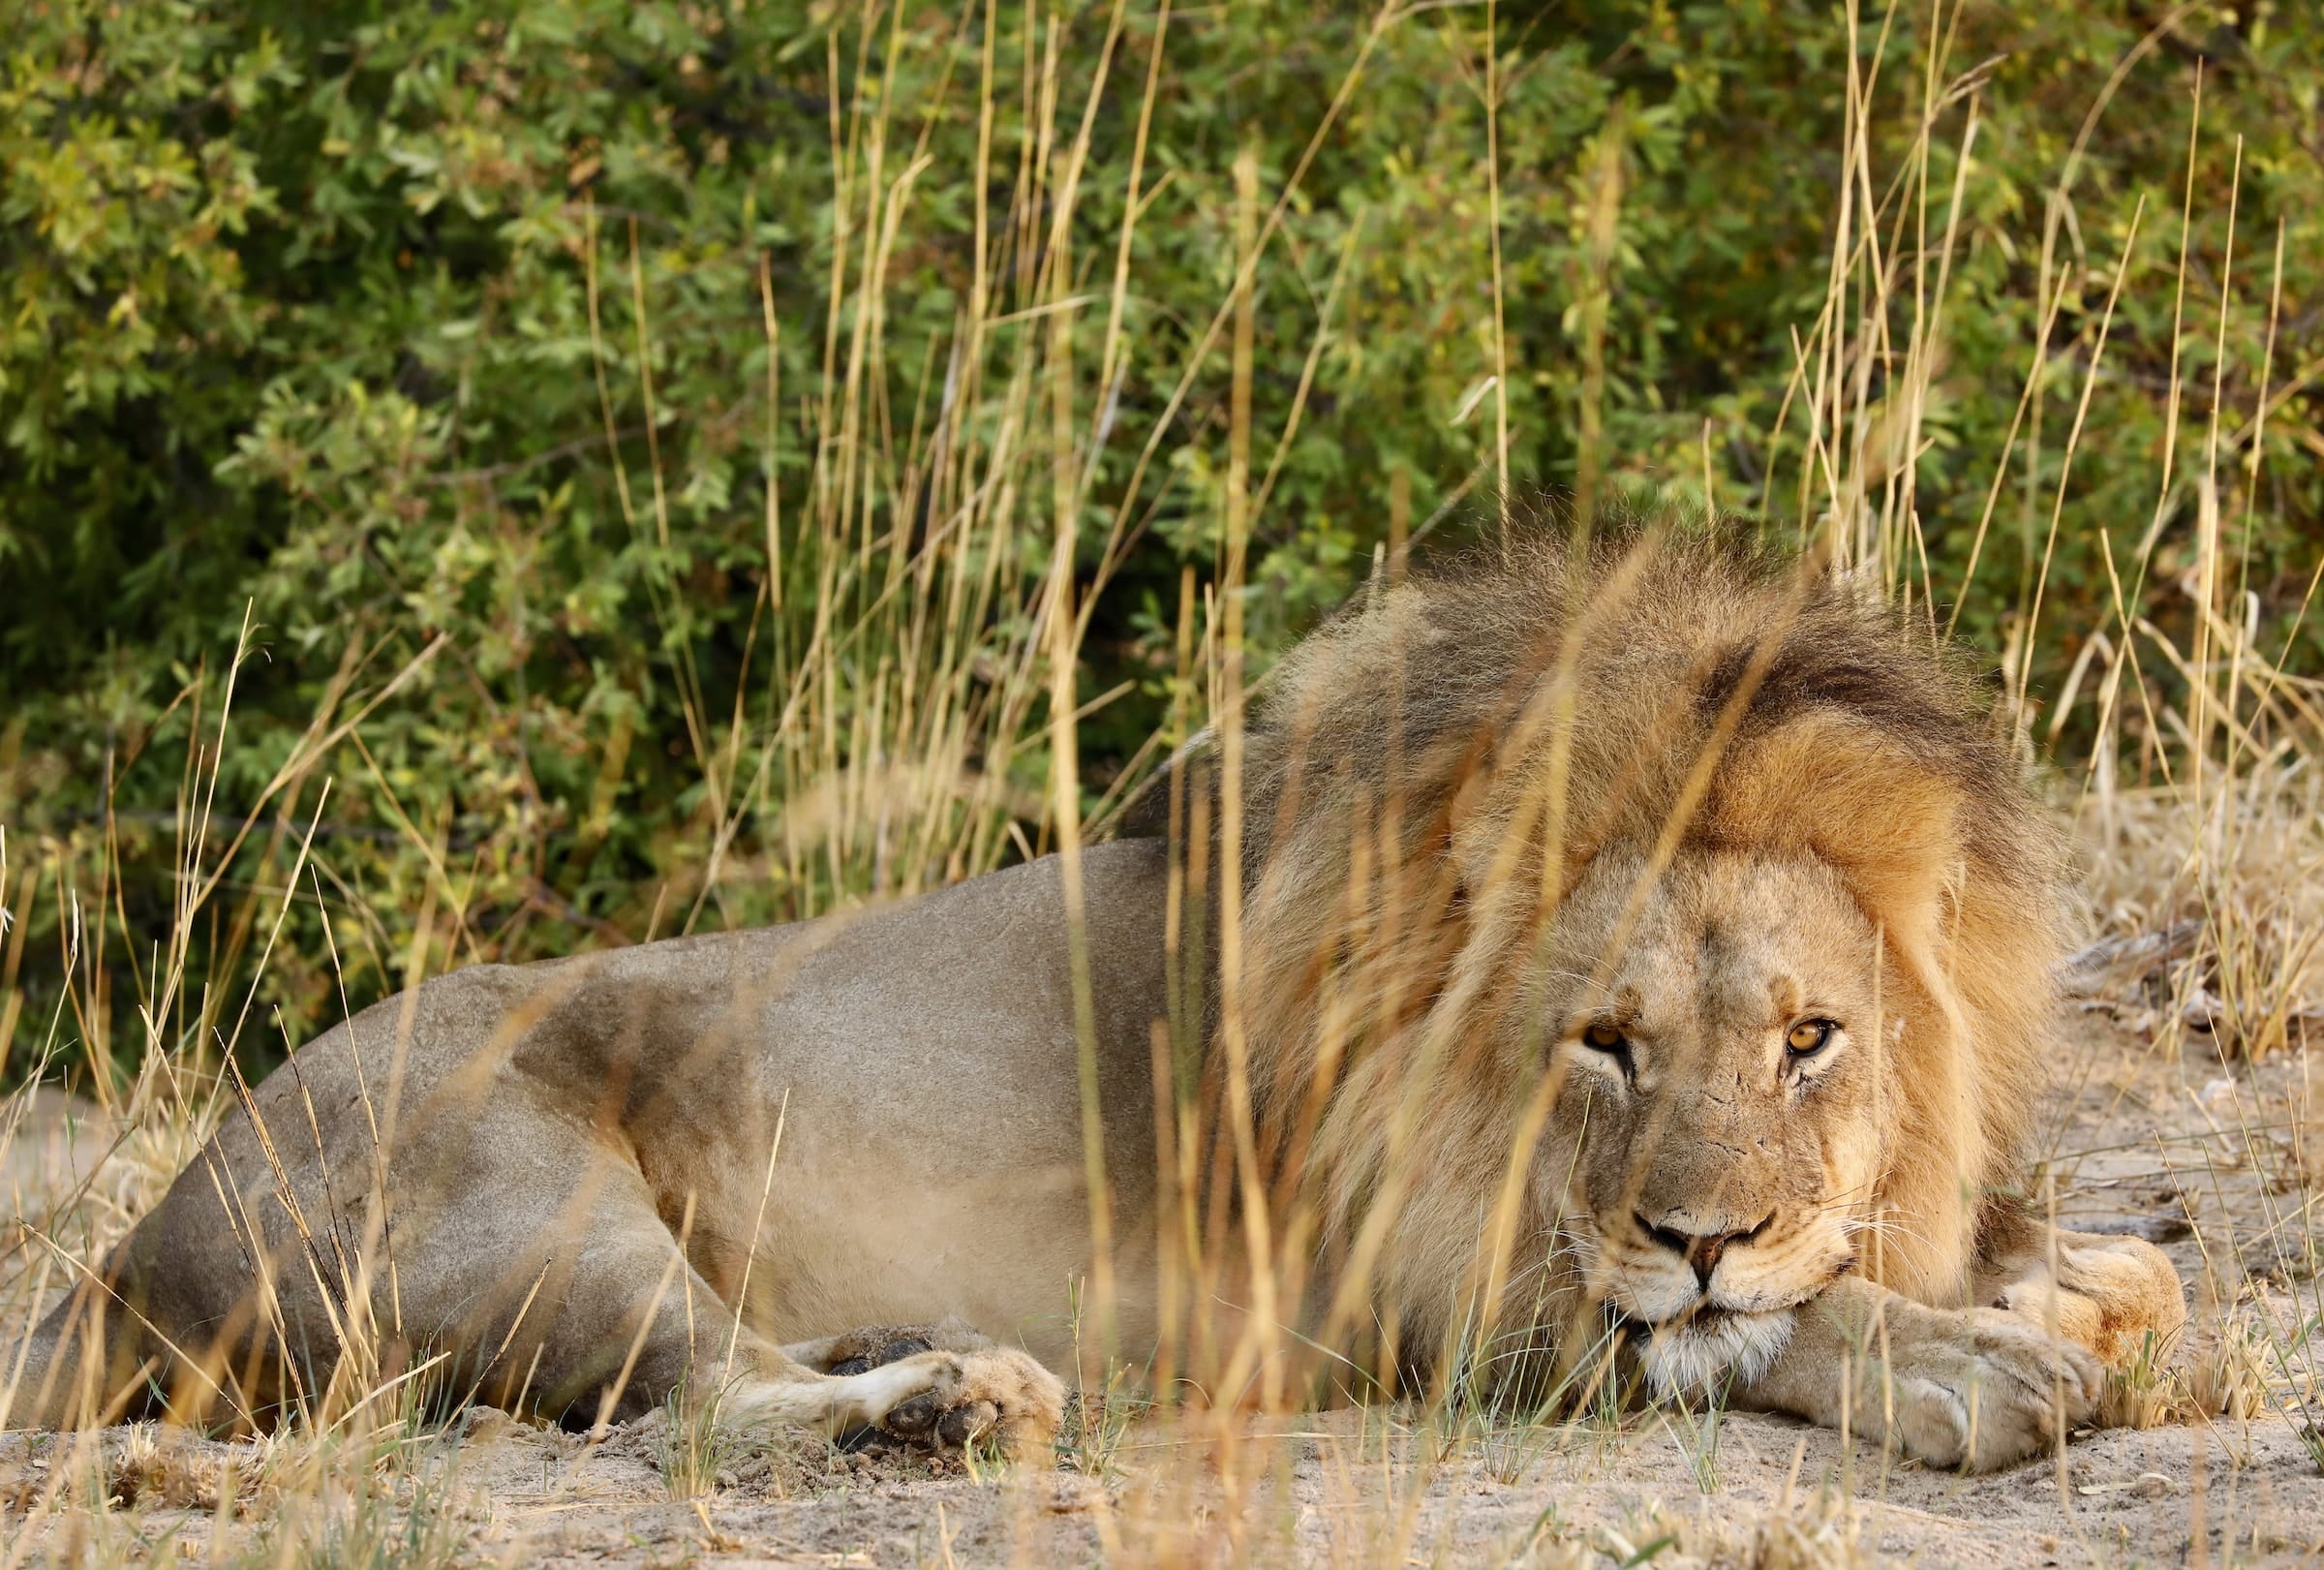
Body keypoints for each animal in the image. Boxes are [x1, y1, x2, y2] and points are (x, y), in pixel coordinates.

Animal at [9, 519, 2183, 1470]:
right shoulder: (1403, 1304)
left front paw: (2055, 1281)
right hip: (517, 1180)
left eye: (1811, 1038)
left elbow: (2083, 1269)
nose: (1706, 1227)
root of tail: (132, 1242)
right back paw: (952, 1398)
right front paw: (1966, 1361)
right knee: (691, 1407)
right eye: (1606, 1045)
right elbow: (1730, 1337)